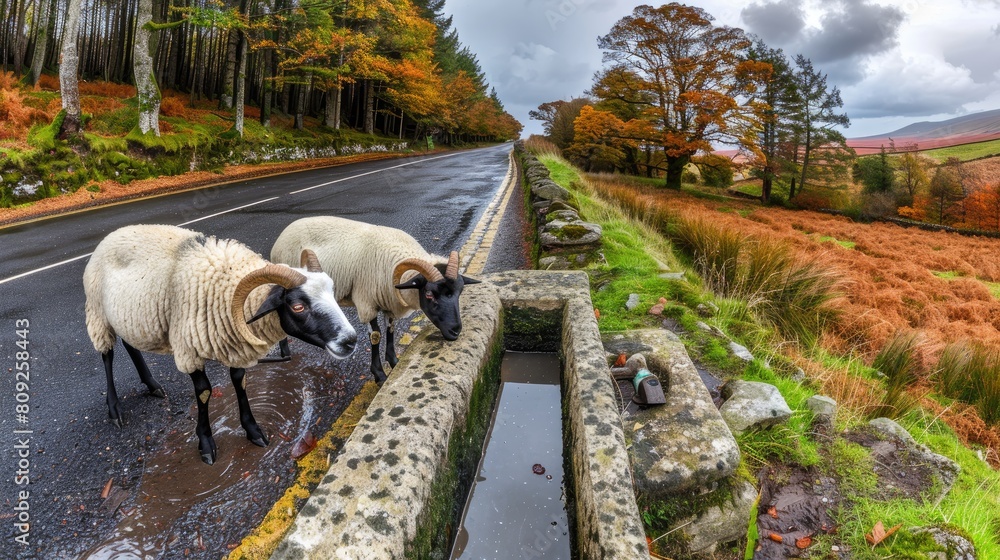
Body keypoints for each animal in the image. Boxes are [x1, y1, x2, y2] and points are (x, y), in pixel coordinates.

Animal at [83, 224, 358, 465]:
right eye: (298, 306)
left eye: (332, 292)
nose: (351, 340)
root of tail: (112, 235)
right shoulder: (189, 350)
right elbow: (204, 391)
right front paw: (206, 444)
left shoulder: (233, 344)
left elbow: (240, 380)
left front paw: (253, 431)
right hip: (98, 313)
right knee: (107, 354)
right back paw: (115, 409)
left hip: (128, 316)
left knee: (130, 345)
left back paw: (152, 385)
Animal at [270, 216, 480, 383]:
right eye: (429, 294)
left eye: (460, 291)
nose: (455, 331)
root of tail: (285, 231)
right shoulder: (366, 302)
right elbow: (376, 335)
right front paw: (379, 375)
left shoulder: (389, 301)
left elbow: (391, 329)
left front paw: (394, 362)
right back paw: (285, 355)